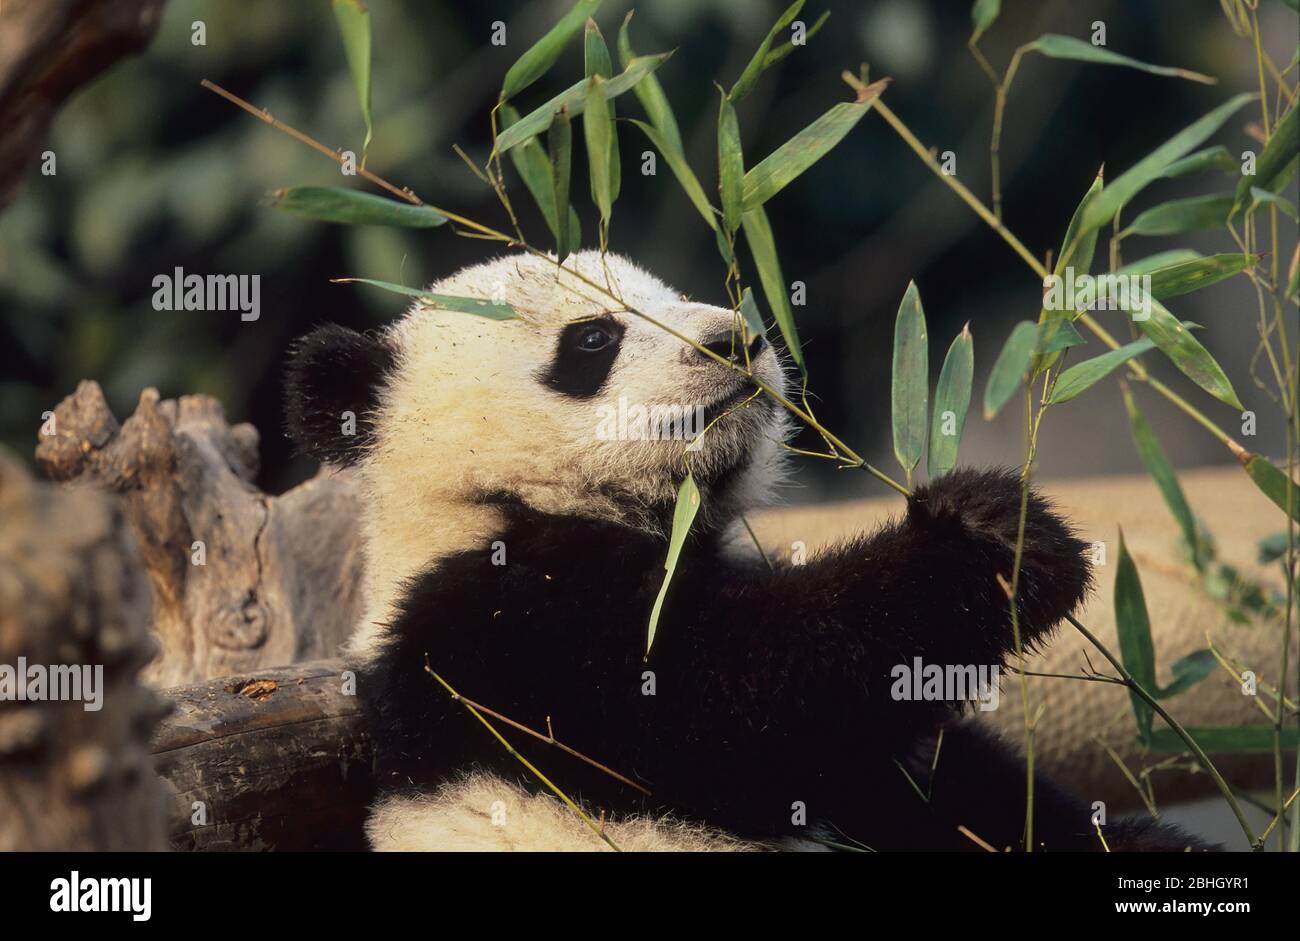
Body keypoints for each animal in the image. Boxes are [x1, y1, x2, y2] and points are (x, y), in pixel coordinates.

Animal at [285, 250, 1211, 852]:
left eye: (673, 292)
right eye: (593, 338)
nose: (736, 339)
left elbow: (943, 783)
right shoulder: (507, 634)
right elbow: (747, 699)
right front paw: (987, 534)